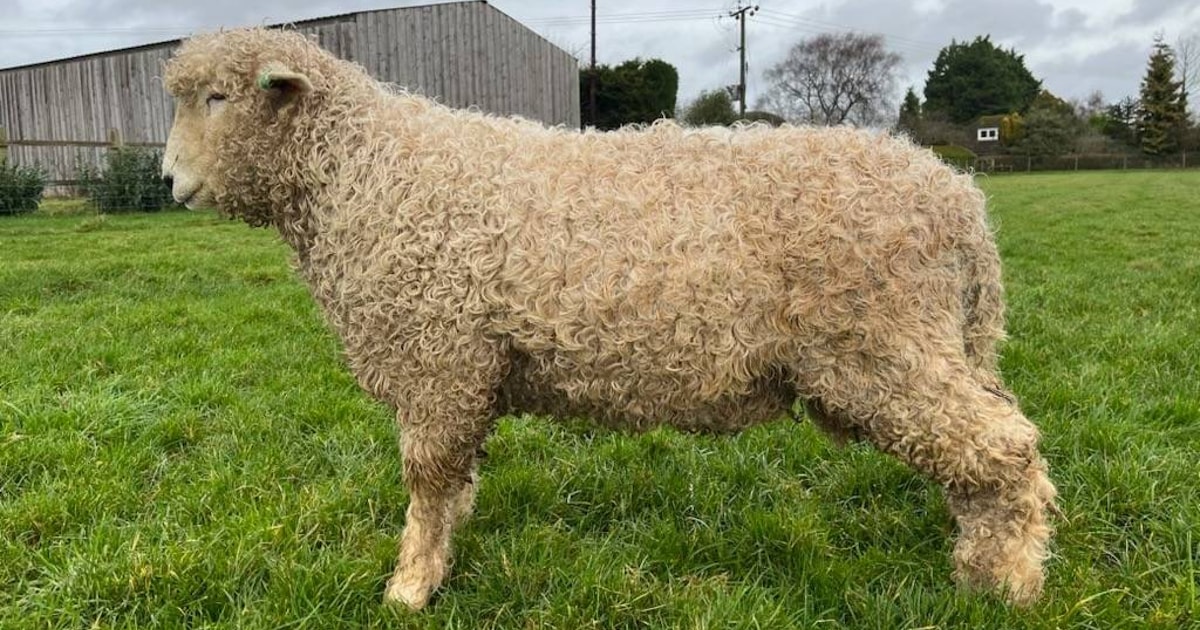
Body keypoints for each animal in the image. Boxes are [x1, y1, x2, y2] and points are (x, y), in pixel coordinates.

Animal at [160, 27, 1057, 610]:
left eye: (218, 98)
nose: (169, 181)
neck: (363, 172)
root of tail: (960, 198)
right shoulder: (464, 373)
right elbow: (455, 479)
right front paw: (447, 546)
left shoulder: (438, 360)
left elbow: (425, 479)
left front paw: (410, 585)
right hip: (924, 346)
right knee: (989, 444)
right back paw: (984, 553)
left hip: (882, 346)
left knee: (1004, 447)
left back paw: (1007, 583)